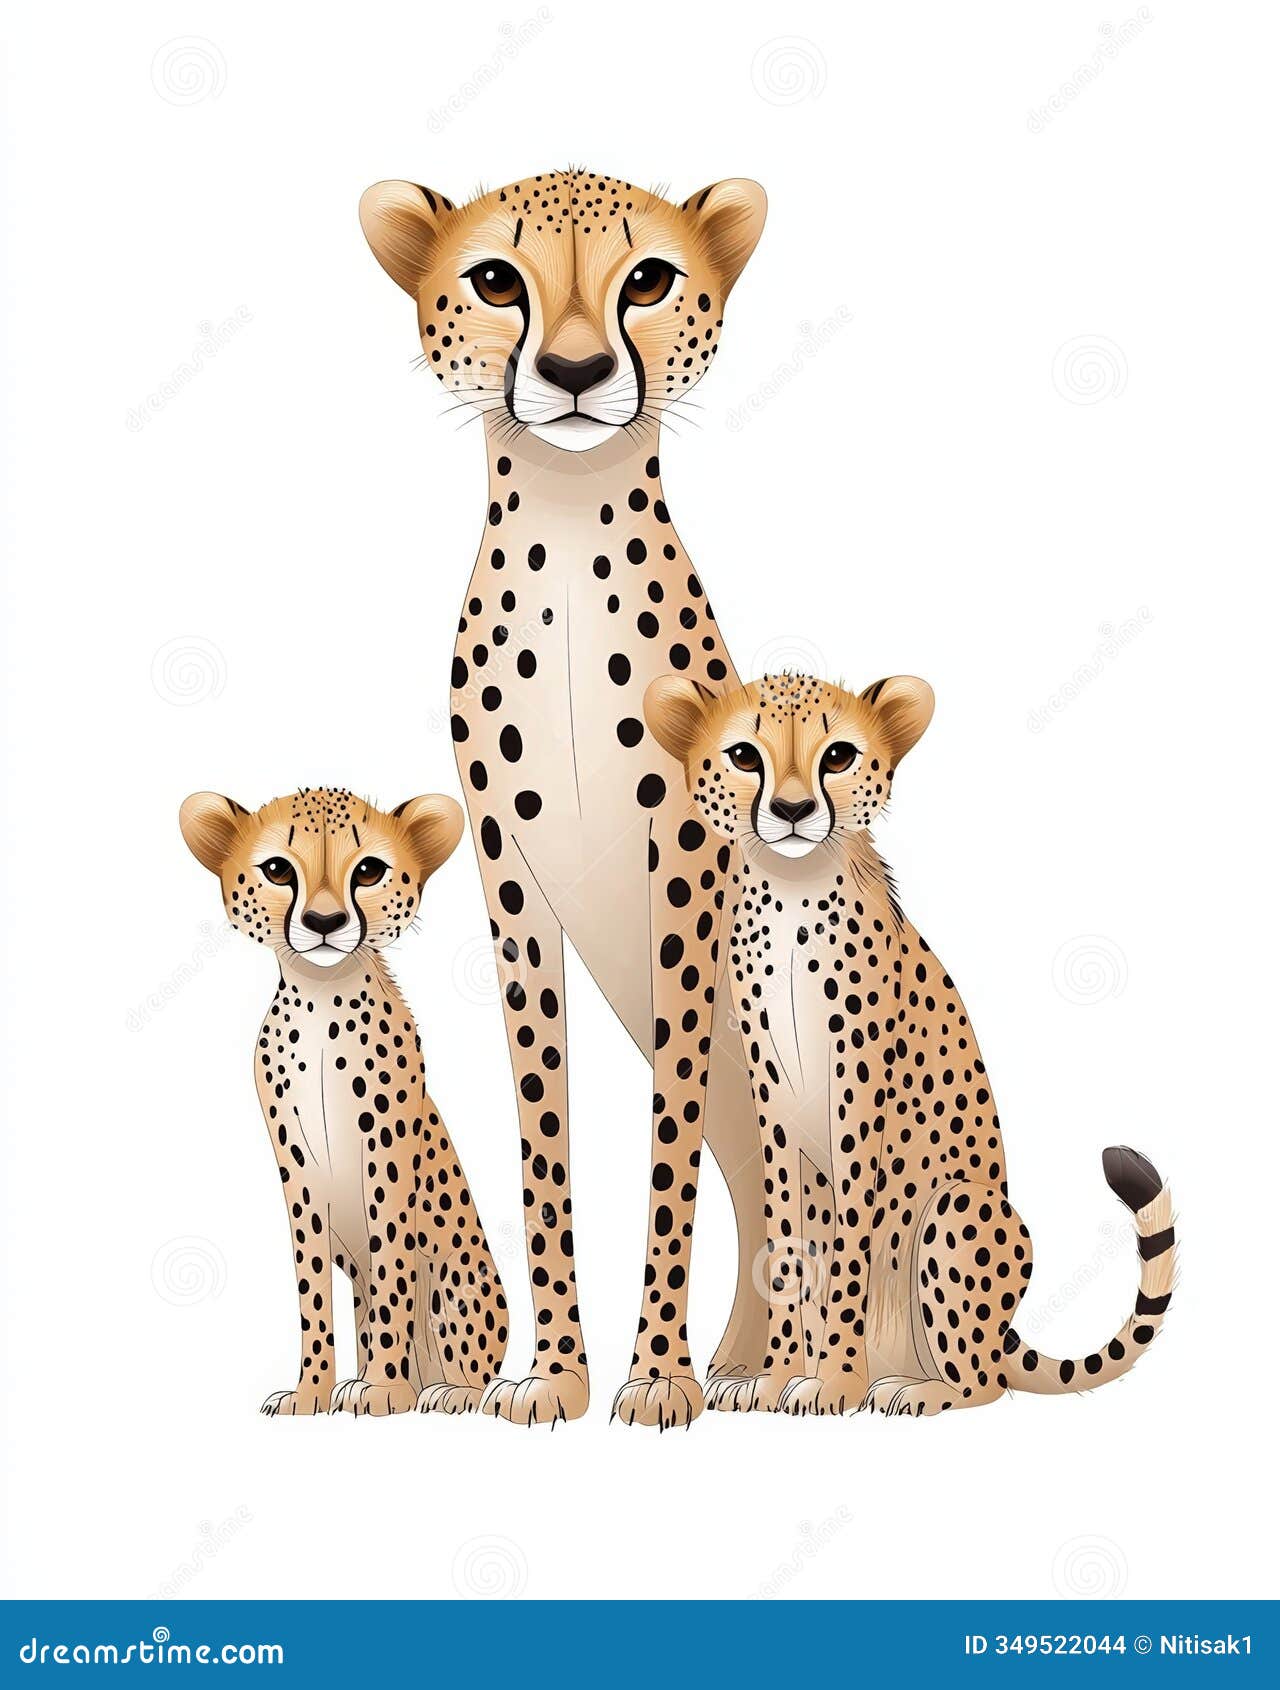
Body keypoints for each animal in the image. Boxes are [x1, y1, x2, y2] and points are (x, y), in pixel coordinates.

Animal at [180, 786, 508, 1416]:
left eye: (370, 870)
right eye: (278, 869)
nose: (325, 922)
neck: (320, 996)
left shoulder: (386, 1163)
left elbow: (392, 1277)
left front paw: (382, 1390)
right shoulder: (299, 1176)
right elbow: (313, 1294)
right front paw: (312, 1392)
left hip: (457, 1280)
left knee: (468, 1362)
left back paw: (443, 1392)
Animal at [360, 167, 772, 1426]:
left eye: (649, 278)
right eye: (497, 278)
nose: (581, 372)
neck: (565, 525)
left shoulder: (680, 887)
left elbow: (666, 1155)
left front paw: (656, 1372)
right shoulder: (511, 886)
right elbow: (544, 1130)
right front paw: (552, 1370)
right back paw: (758, 1356)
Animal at [644, 671, 1175, 1416]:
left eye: (837, 755)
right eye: (745, 755)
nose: (792, 810)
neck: (791, 891)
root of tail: (1003, 1335)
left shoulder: (857, 1101)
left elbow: (849, 1251)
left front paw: (834, 1384)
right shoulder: (773, 1107)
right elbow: (784, 1244)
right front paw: (775, 1379)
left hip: (957, 1211)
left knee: (984, 1384)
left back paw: (911, 1389)